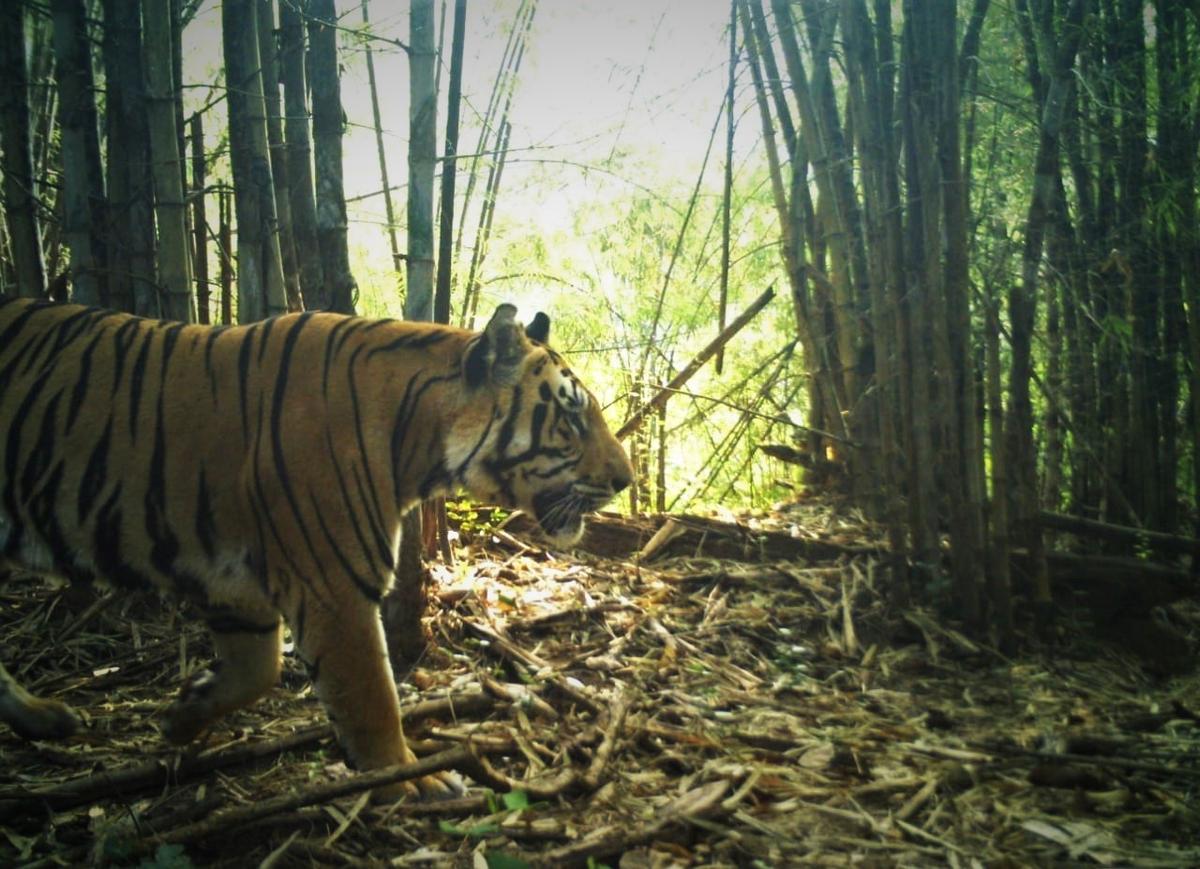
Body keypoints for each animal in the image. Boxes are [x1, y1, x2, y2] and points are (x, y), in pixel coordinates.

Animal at [0, 297, 632, 799]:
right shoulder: (333, 587)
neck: (417, 442)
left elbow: (256, 671)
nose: (626, 480)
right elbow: (371, 696)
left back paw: (44, 718)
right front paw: (411, 778)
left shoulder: (235, 584)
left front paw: (183, 716)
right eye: (571, 416)